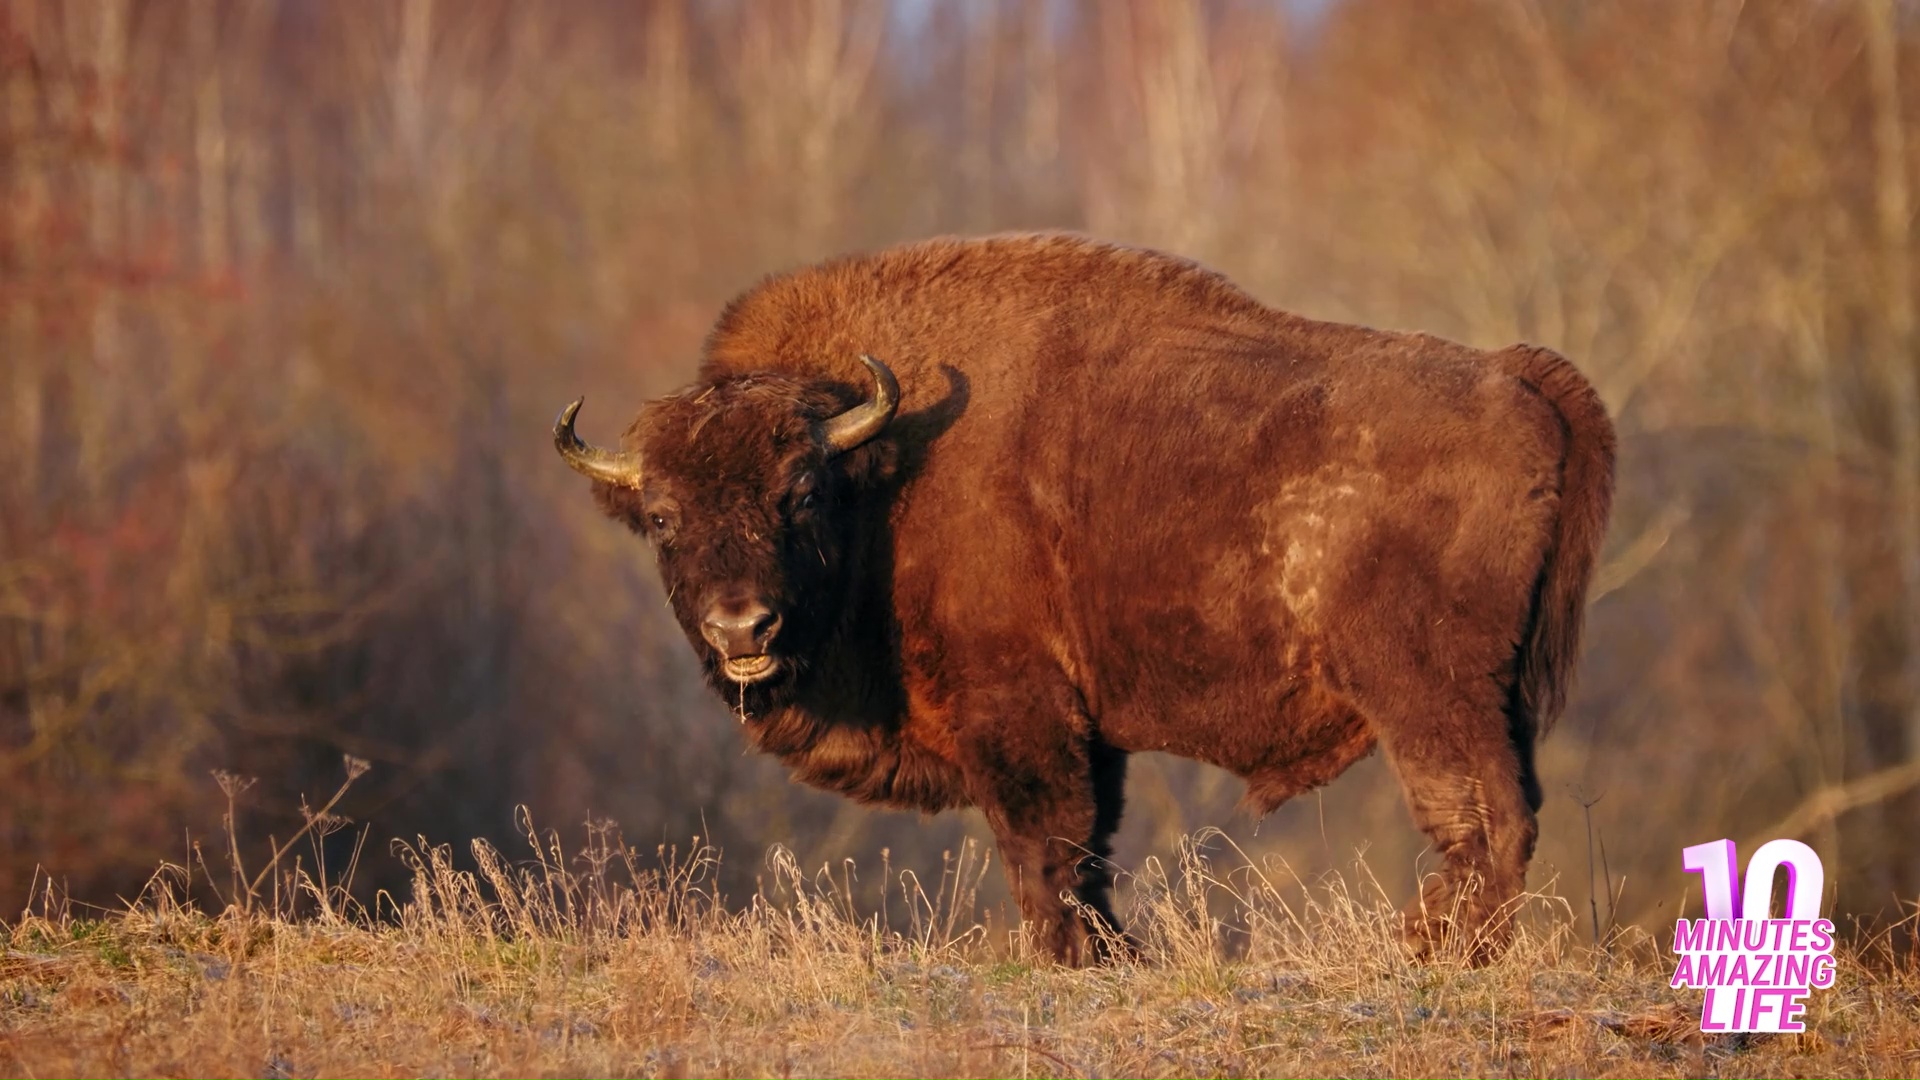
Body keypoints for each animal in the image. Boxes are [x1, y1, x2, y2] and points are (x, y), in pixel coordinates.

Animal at [555, 233, 1615, 965]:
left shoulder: (1016, 711)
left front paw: (1066, 958)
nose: (743, 625)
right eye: (662, 516)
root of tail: (1511, 376)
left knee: (1486, 817)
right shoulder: (1085, 731)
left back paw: (1429, 950)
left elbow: (1044, 842)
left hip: (1427, 691)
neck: (886, 476)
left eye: (801, 491)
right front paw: (1112, 953)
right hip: (1494, 695)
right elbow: (1090, 846)